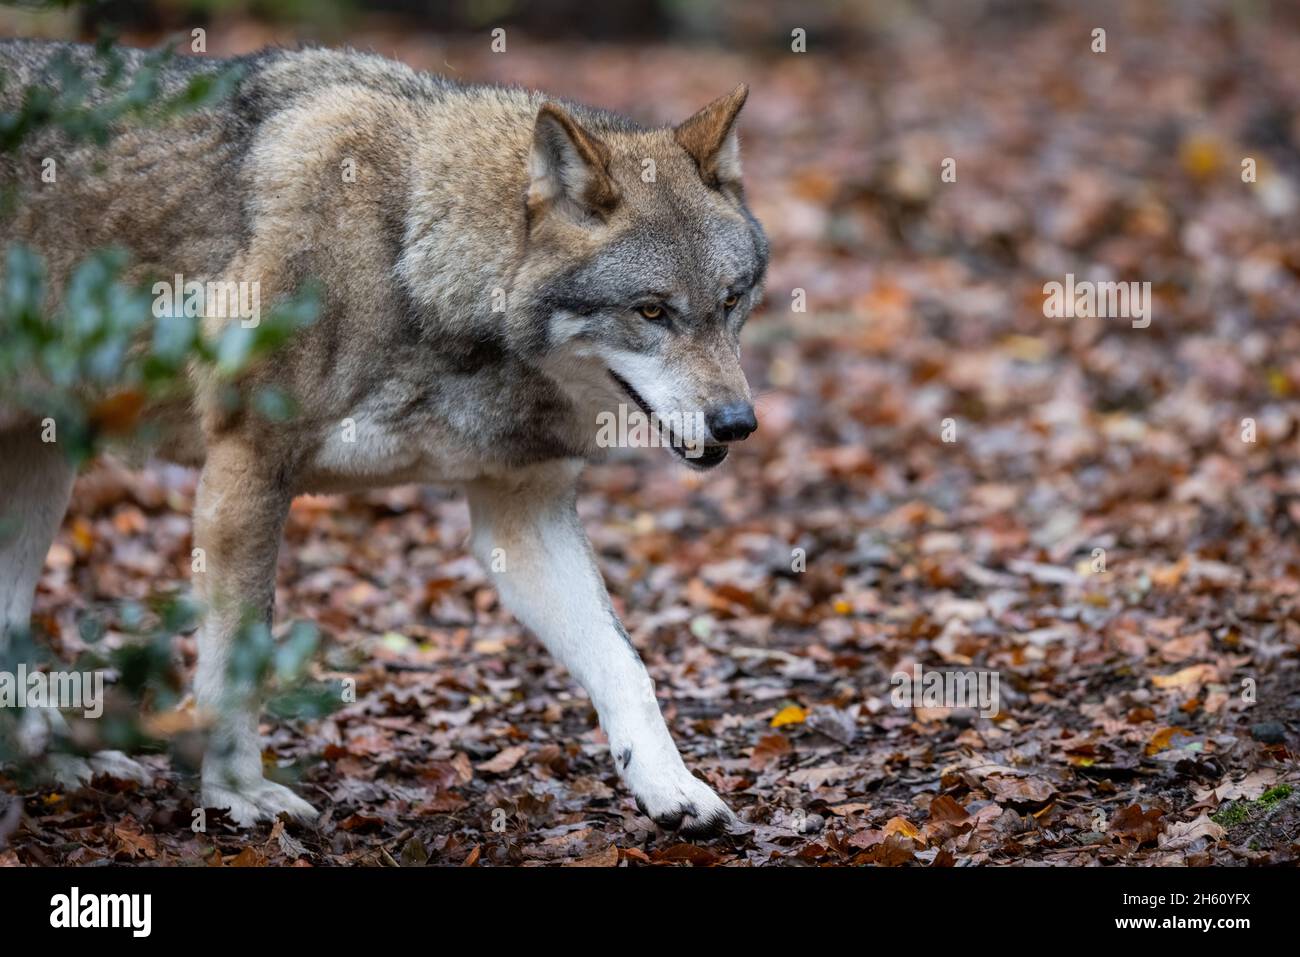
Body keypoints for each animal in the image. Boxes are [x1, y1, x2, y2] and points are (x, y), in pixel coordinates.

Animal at [0, 39, 766, 836]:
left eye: (731, 300)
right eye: (651, 311)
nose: (737, 424)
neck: (411, 257)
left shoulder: (525, 511)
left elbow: (627, 664)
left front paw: (671, 787)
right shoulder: (246, 467)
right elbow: (239, 658)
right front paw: (237, 793)